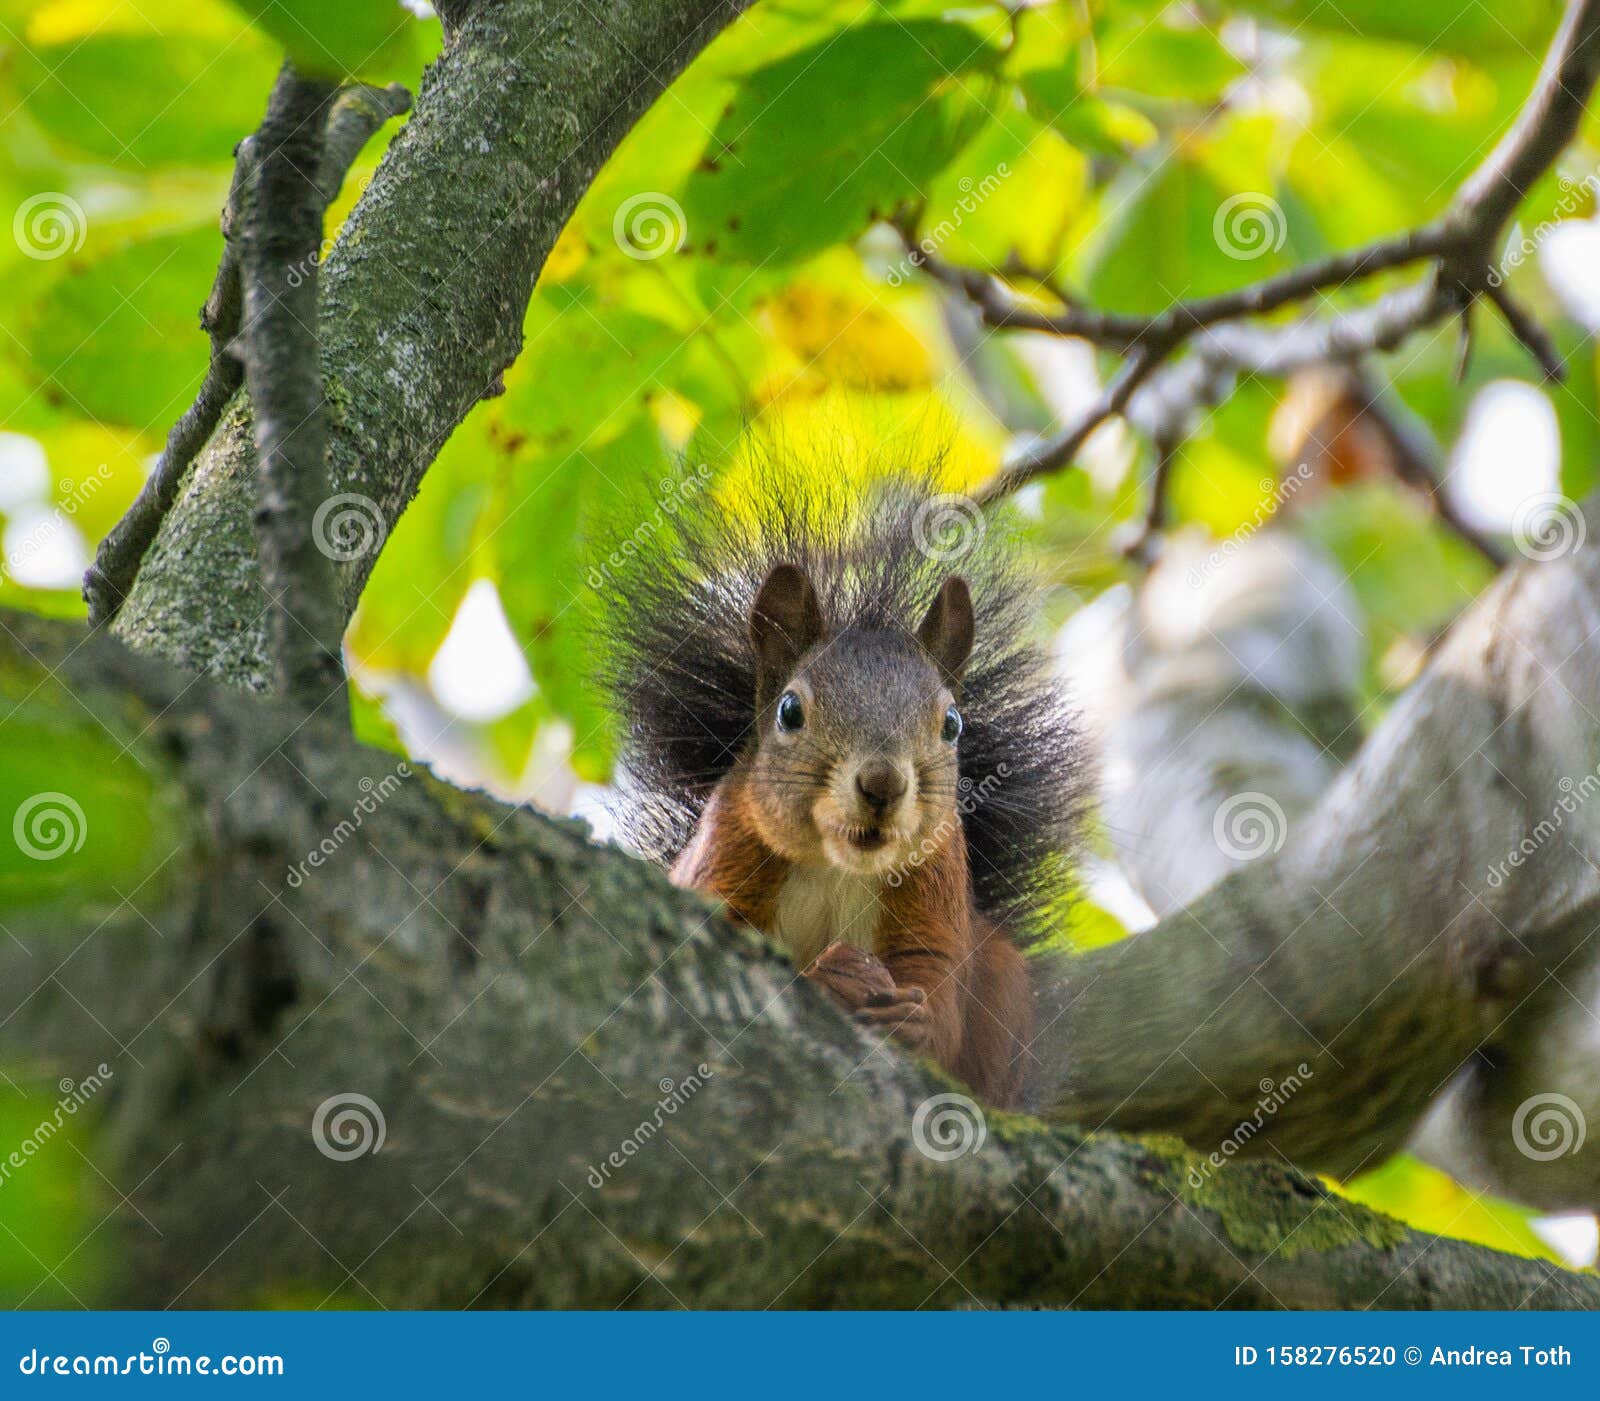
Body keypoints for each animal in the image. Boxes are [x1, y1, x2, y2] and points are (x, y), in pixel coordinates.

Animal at [595, 472, 1084, 1107]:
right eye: (789, 711)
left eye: (953, 724)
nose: (882, 783)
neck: (836, 866)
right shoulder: (728, 842)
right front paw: (832, 976)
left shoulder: (938, 877)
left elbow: (939, 984)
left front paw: (913, 1019)